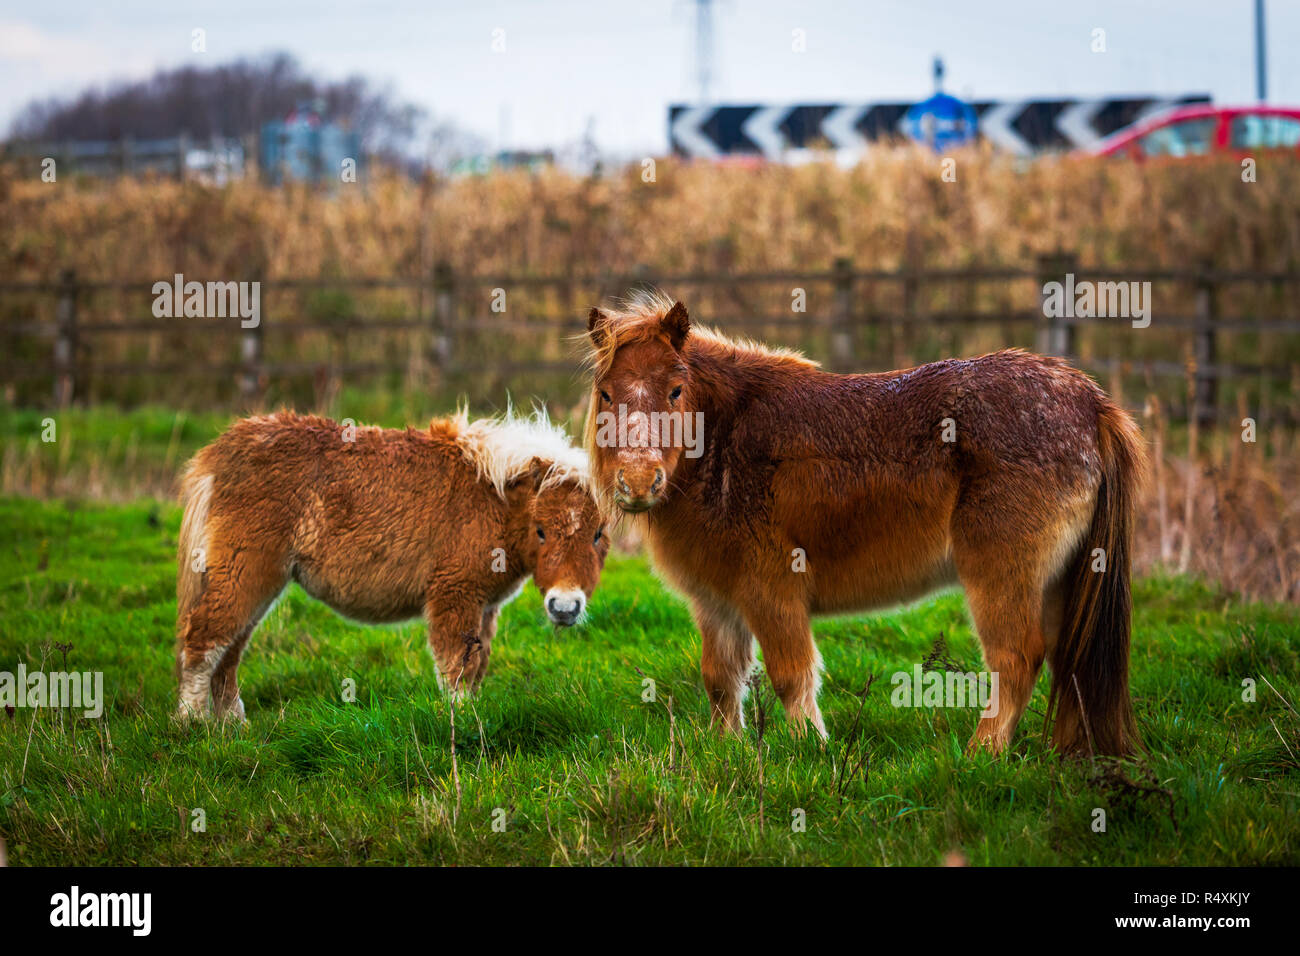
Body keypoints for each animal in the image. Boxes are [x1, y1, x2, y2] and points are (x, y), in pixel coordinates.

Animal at [174, 408, 608, 721]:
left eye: (599, 534)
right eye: (541, 531)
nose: (564, 607)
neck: (494, 495)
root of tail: (223, 451)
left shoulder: (484, 605)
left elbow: (477, 665)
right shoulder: (455, 594)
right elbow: (455, 666)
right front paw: (462, 724)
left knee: (230, 647)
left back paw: (232, 725)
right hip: (245, 569)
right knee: (205, 638)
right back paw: (193, 724)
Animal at [583, 292, 1147, 756]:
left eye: (676, 390)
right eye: (606, 394)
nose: (638, 482)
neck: (725, 442)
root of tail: (1092, 403)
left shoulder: (771, 590)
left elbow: (791, 676)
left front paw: (811, 748)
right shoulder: (716, 601)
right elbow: (721, 679)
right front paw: (729, 750)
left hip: (1002, 575)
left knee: (1016, 659)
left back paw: (980, 756)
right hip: (1059, 581)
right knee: (1066, 659)